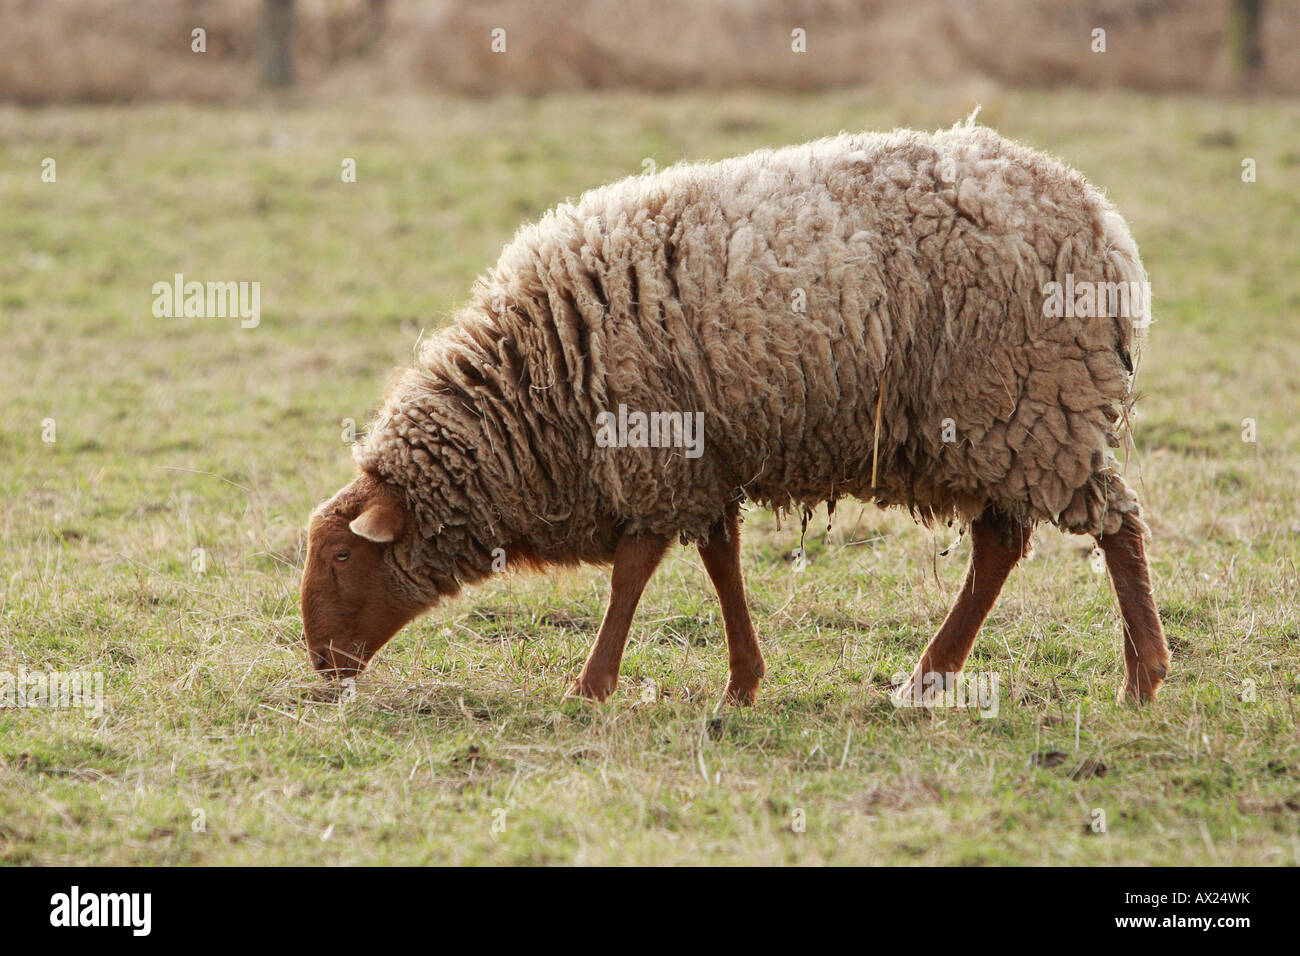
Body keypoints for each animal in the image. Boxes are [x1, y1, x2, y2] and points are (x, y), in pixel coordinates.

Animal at [301, 120, 1169, 706]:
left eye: (341, 557)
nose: (319, 662)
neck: (537, 379)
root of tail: (1106, 225)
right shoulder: (699, 455)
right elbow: (721, 562)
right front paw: (744, 682)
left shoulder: (653, 450)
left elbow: (634, 570)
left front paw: (592, 683)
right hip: (998, 425)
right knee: (1001, 545)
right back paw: (928, 679)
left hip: (1031, 408)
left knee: (1115, 525)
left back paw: (1142, 676)